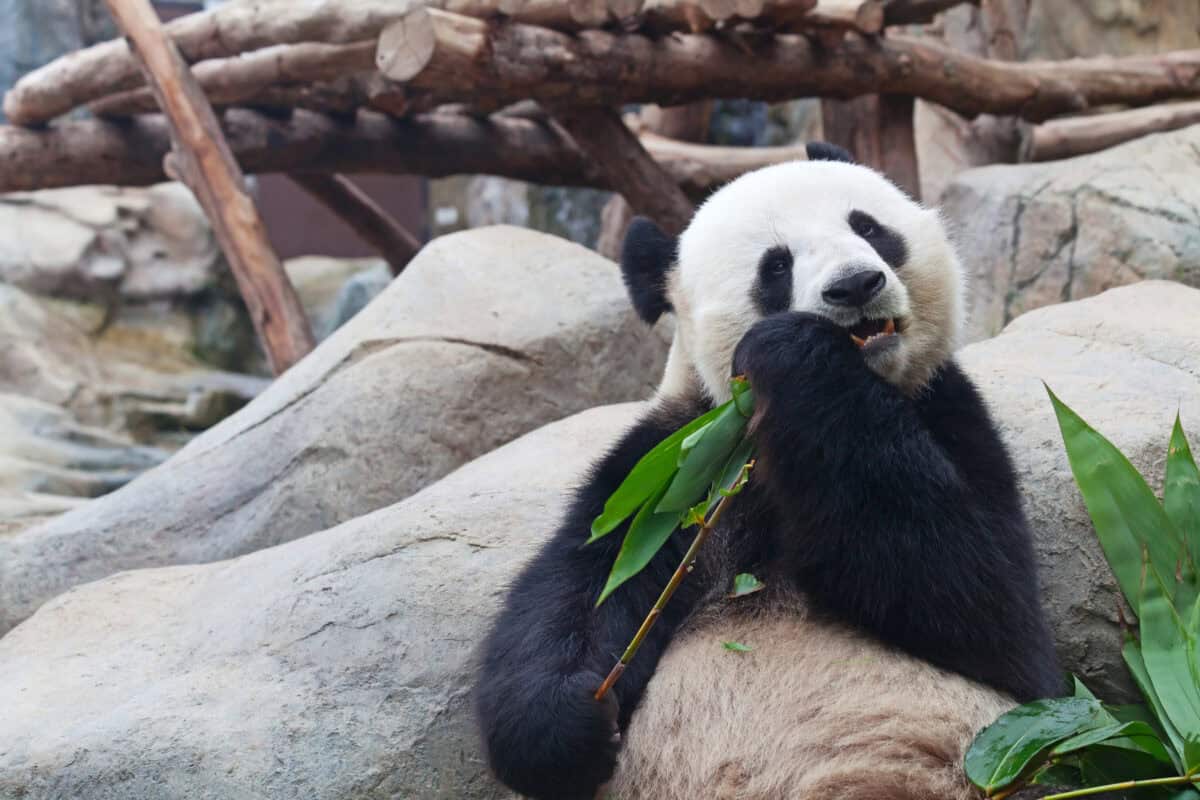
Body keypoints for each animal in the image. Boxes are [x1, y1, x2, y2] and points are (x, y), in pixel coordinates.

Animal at [475, 144, 1062, 800]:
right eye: (775, 266)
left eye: (869, 228)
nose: (856, 284)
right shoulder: (672, 466)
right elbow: (585, 581)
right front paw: (568, 727)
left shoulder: (948, 412)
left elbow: (982, 598)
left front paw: (794, 353)